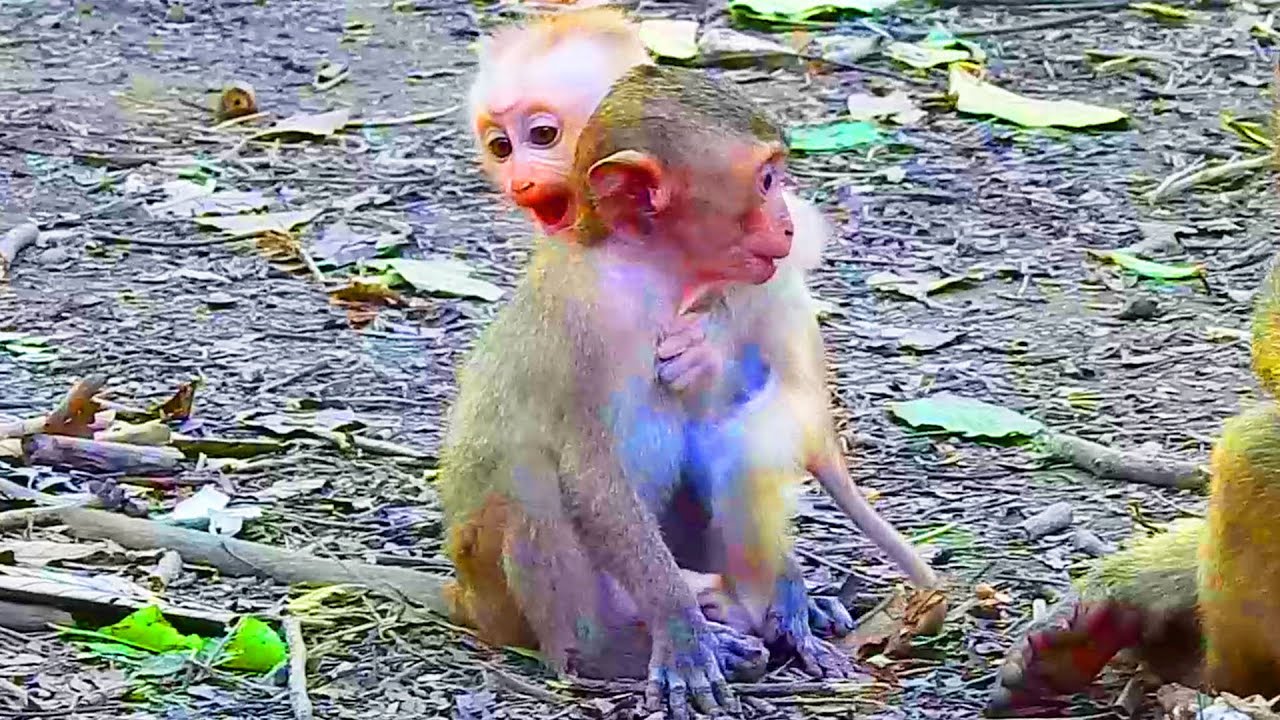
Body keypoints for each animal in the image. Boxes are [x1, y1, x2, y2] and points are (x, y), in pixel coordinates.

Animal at [439, 64, 803, 718]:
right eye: (765, 180)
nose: (788, 222)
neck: (639, 270)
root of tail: (465, 600)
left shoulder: (690, 321)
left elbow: (717, 437)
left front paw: (787, 587)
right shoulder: (579, 332)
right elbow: (591, 475)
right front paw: (682, 633)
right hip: (494, 590)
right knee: (528, 474)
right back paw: (604, 651)